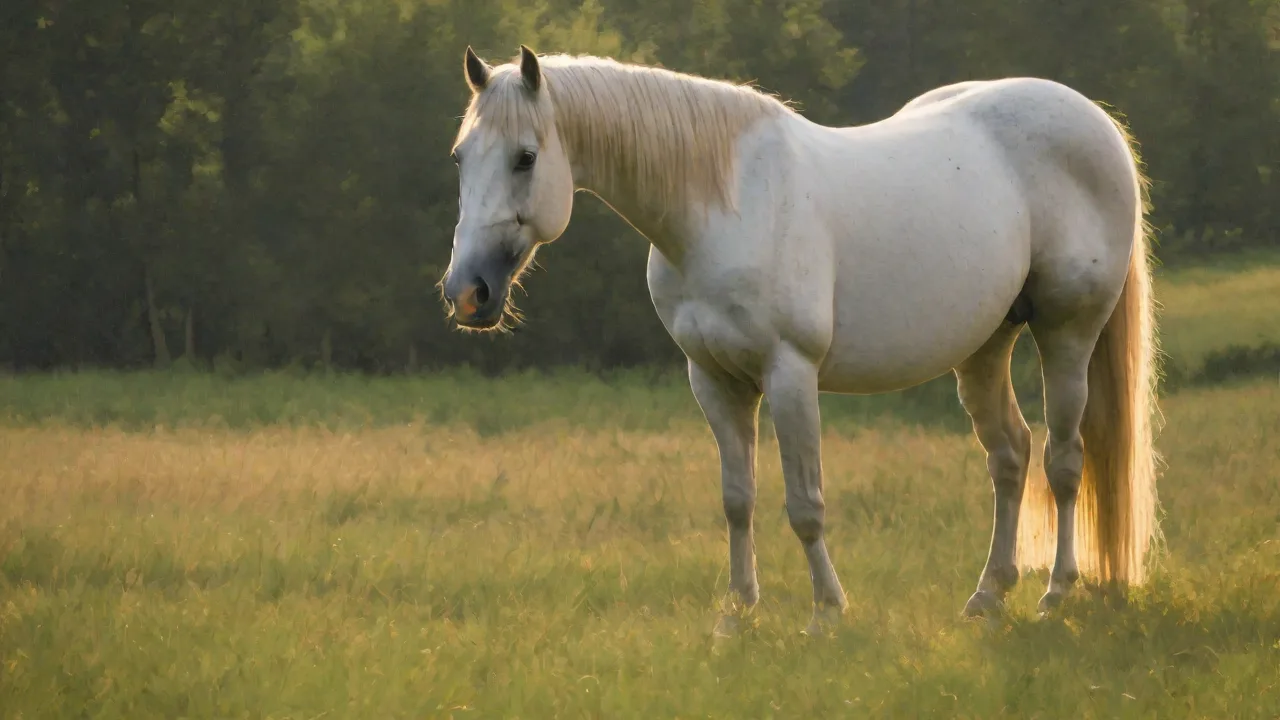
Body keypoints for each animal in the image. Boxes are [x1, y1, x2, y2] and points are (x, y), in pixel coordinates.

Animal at [440, 45, 1161, 635]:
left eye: (525, 157)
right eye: (460, 157)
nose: (467, 293)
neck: (722, 208)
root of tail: (1098, 123)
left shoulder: (790, 374)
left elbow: (804, 503)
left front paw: (827, 611)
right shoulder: (714, 380)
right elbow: (738, 500)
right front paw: (737, 613)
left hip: (1067, 332)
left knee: (1064, 462)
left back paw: (1056, 595)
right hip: (985, 345)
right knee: (1010, 456)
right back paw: (988, 597)